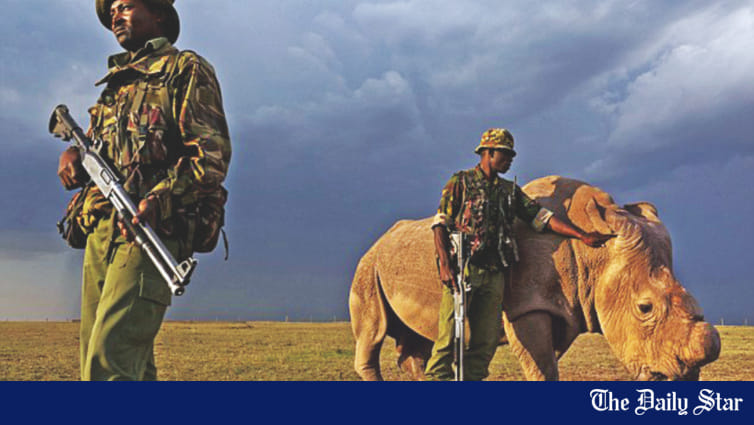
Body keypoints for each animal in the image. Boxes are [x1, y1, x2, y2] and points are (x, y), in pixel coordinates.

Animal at [349, 176, 721, 381]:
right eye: (645, 308)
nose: (685, 375)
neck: (594, 255)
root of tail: (377, 242)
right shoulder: (526, 306)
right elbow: (543, 369)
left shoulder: (565, 307)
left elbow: (546, 363)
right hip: (367, 266)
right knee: (374, 330)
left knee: (421, 340)